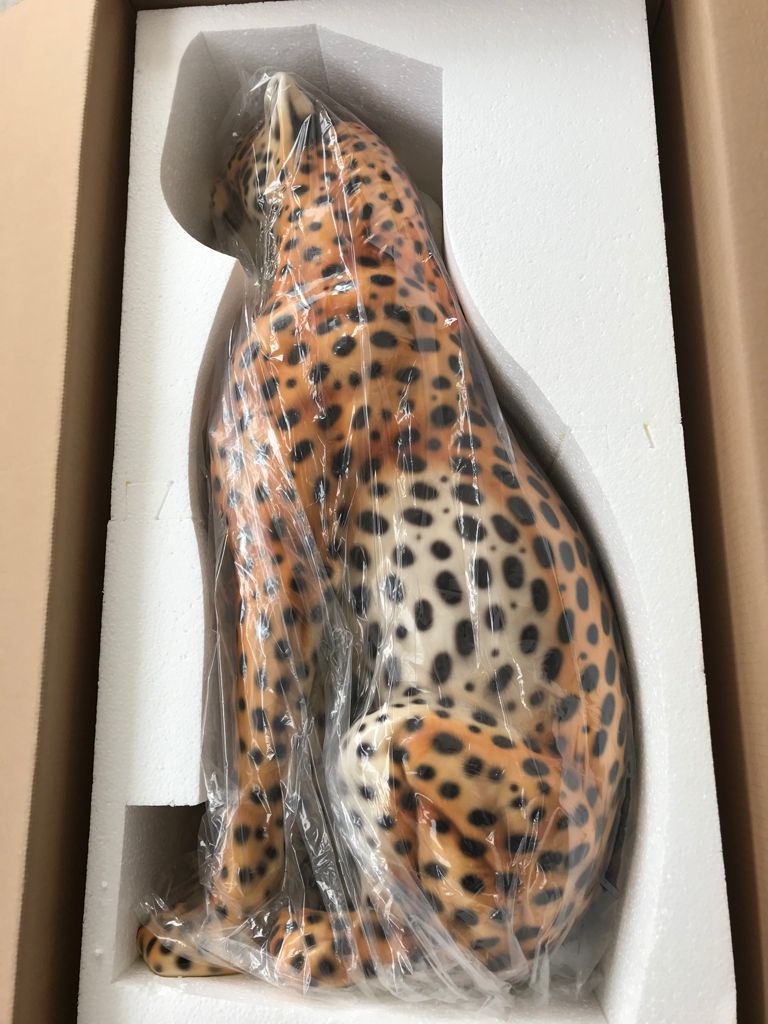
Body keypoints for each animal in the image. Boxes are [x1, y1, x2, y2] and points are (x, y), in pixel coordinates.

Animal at [137, 71, 632, 994]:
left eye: (237, 153)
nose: (210, 194)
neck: (353, 240)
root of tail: (568, 916)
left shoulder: (275, 546)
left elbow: (261, 754)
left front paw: (218, 913)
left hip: (392, 745)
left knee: (423, 945)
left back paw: (290, 939)